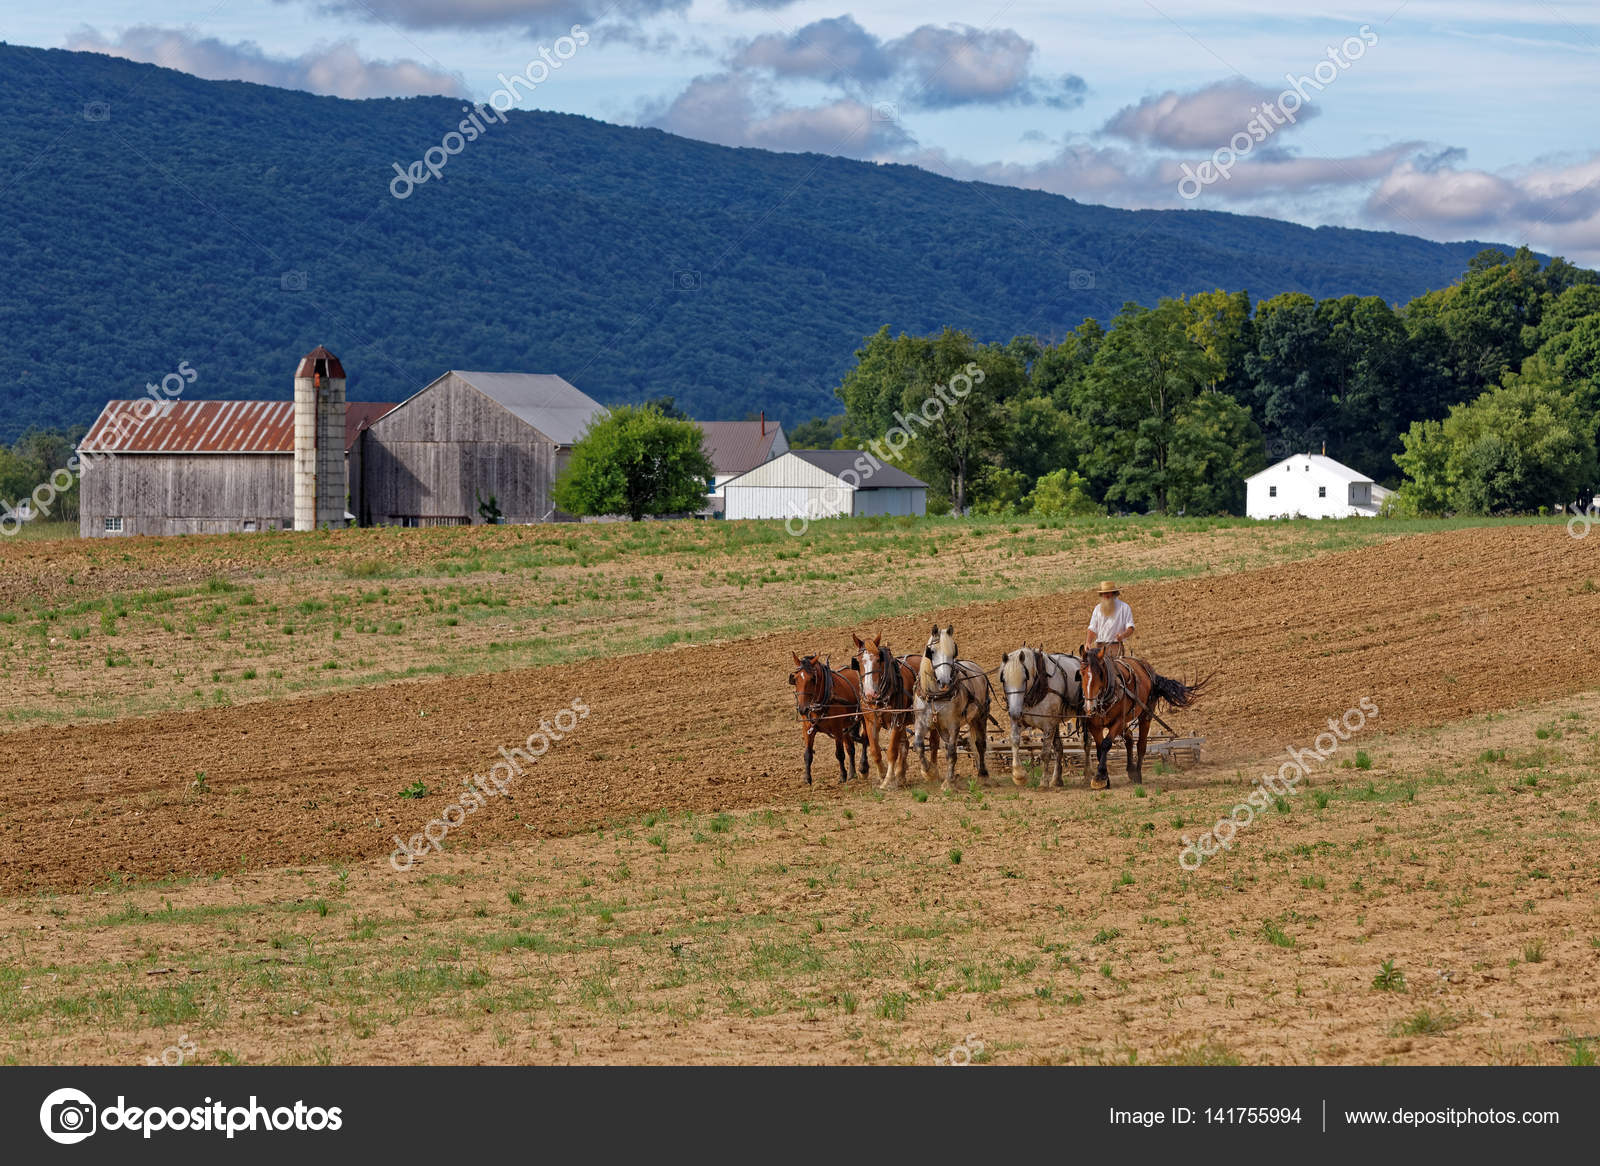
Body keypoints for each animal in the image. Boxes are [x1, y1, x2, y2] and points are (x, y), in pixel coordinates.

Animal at [789, 653, 870, 785]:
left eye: (813, 678)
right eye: (795, 679)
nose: (802, 709)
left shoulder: (837, 729)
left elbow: (840, 753)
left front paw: (842, 775)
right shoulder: (808, 728)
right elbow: (808, 754)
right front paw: (807, 778)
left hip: (864, 718)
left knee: (864, 739)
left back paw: (863, 767)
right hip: (846, 725)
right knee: (851, 748)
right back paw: (852, 773)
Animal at [852, 632, 921, 790]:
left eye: (879, 659)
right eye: (858, 662)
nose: (870, 693)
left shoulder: (896, 720)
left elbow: (891, 751)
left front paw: (889, 780)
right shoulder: (871, 722)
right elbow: (875, 751)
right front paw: (883, 774)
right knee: (904, 745)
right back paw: (901, 774)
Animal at [910, 625, 994, 791]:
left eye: (953, 651)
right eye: (932, 651)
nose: (944, 681)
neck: (935, 696)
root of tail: (977, 669)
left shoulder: (953, 725)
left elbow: (951, 753)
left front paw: (948, 782)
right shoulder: (921, 723)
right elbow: (919, 746)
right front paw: (929, 773)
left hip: (980, 717)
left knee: (980, 744)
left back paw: (983, 775)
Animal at [998, 643, 1087, 787]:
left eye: (1025, 678)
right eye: (1004, 680)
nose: (1015, 712)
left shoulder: (1048, 725)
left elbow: (1045, 753)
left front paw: (1043, 782)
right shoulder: (1022, 722)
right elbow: (1015, 741)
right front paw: (1019, 775)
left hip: (1082, 718)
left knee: (1086, 744)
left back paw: (1088, 775)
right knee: (1059, 748)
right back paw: (1056, 780)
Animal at [1078, 643, 1209, 790]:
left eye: (1100, 673)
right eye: (1081, 673)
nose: (1090, 707)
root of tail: (1151, 673)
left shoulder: (1119, 720)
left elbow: (1106, 744)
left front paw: (1100, 776)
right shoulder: (1094, 725)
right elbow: (1100, 749)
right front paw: (1105, 779)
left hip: (1145, 715)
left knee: (1141, 745)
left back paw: (1137, 773)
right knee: (1129, 738)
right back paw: (1131, 770)